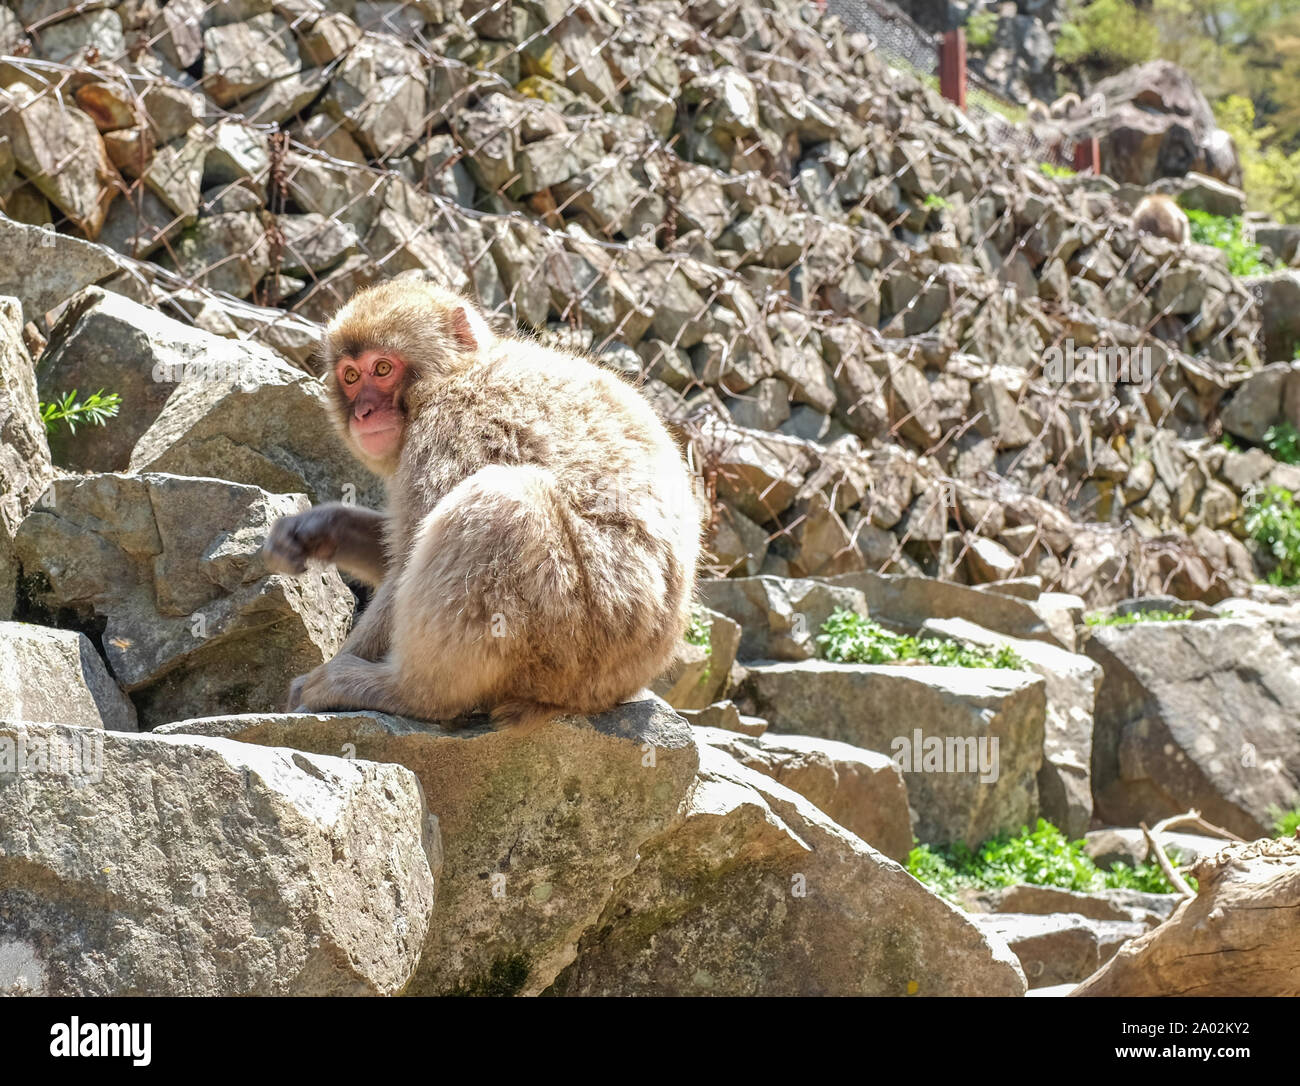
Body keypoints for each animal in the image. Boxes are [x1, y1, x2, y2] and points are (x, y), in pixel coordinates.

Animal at [262, 279, 702, 731]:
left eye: (382, 369)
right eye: (350, 377)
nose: (363, 412)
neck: (455, 374)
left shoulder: (452, 428)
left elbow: (404, 568)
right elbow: (396, 555)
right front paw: (319, 528)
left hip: (569, 634)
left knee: (501, 502)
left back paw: (406, 691)